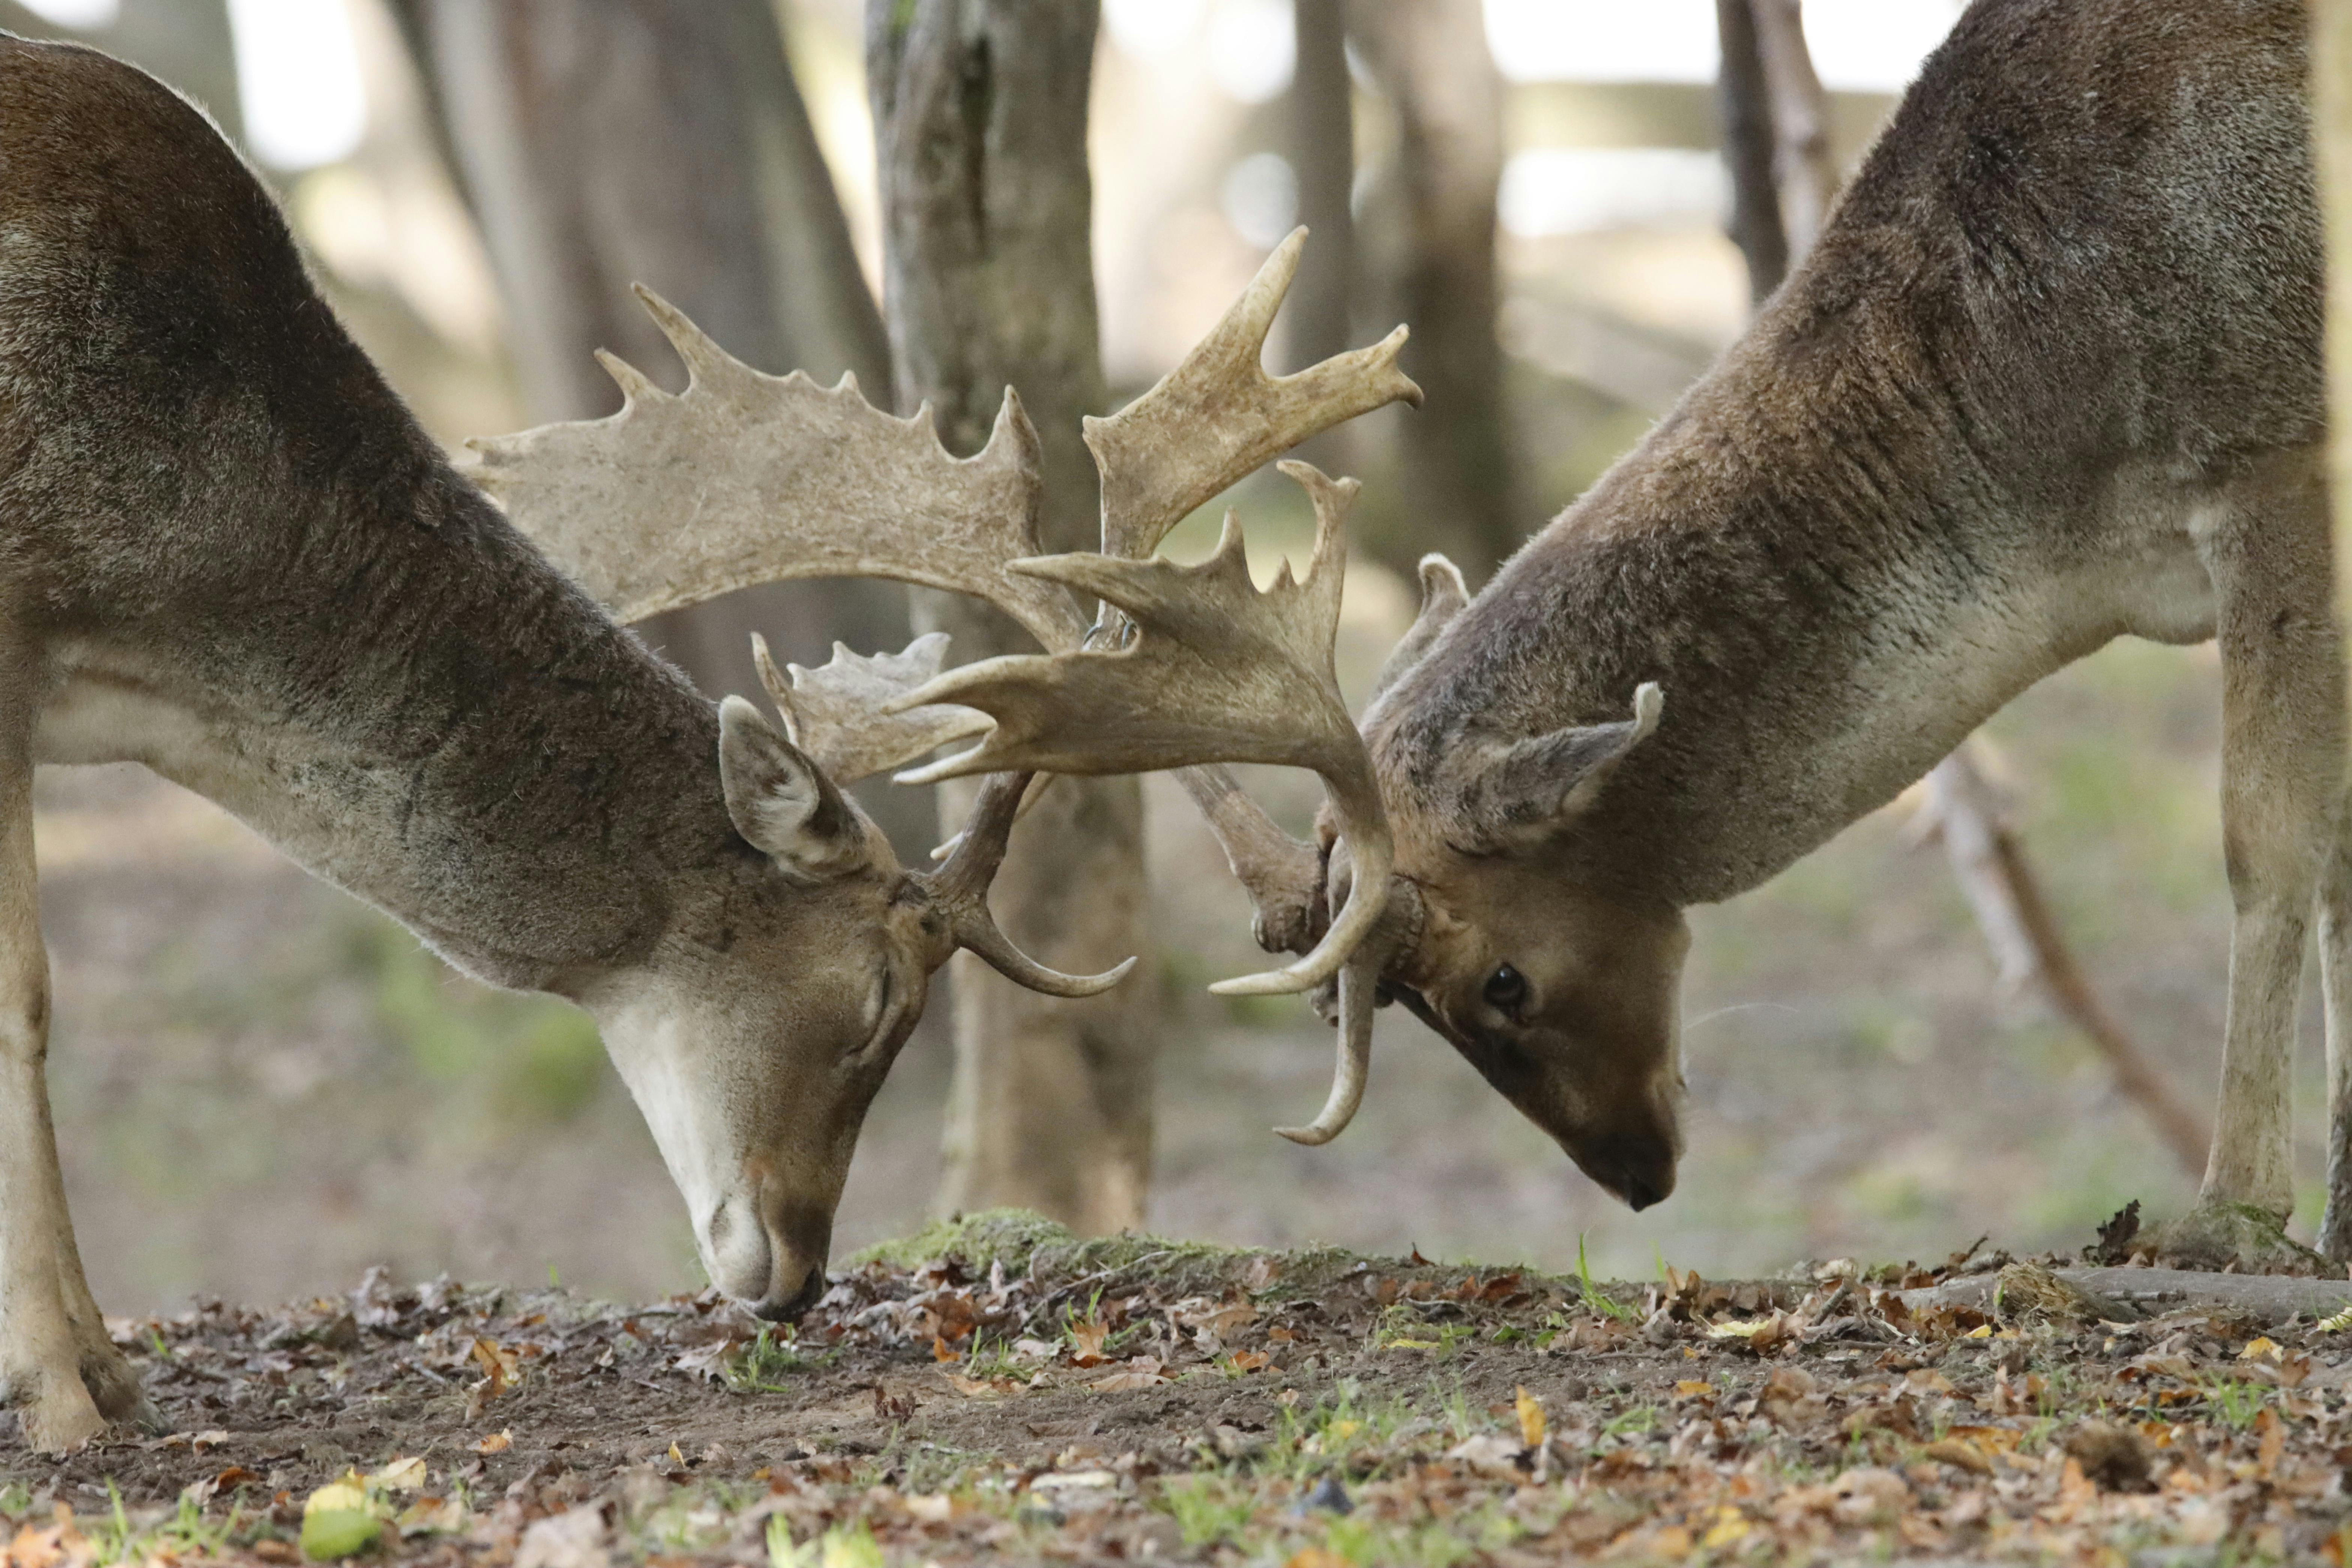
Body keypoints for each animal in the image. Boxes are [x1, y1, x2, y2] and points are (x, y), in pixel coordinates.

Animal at [887, 0, 2349, 1274]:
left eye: (1503, 981)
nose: (1634, 1175)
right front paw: (2331, 1226)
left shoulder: (2273, 450)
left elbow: (2270, 843)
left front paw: (2235, 1217)